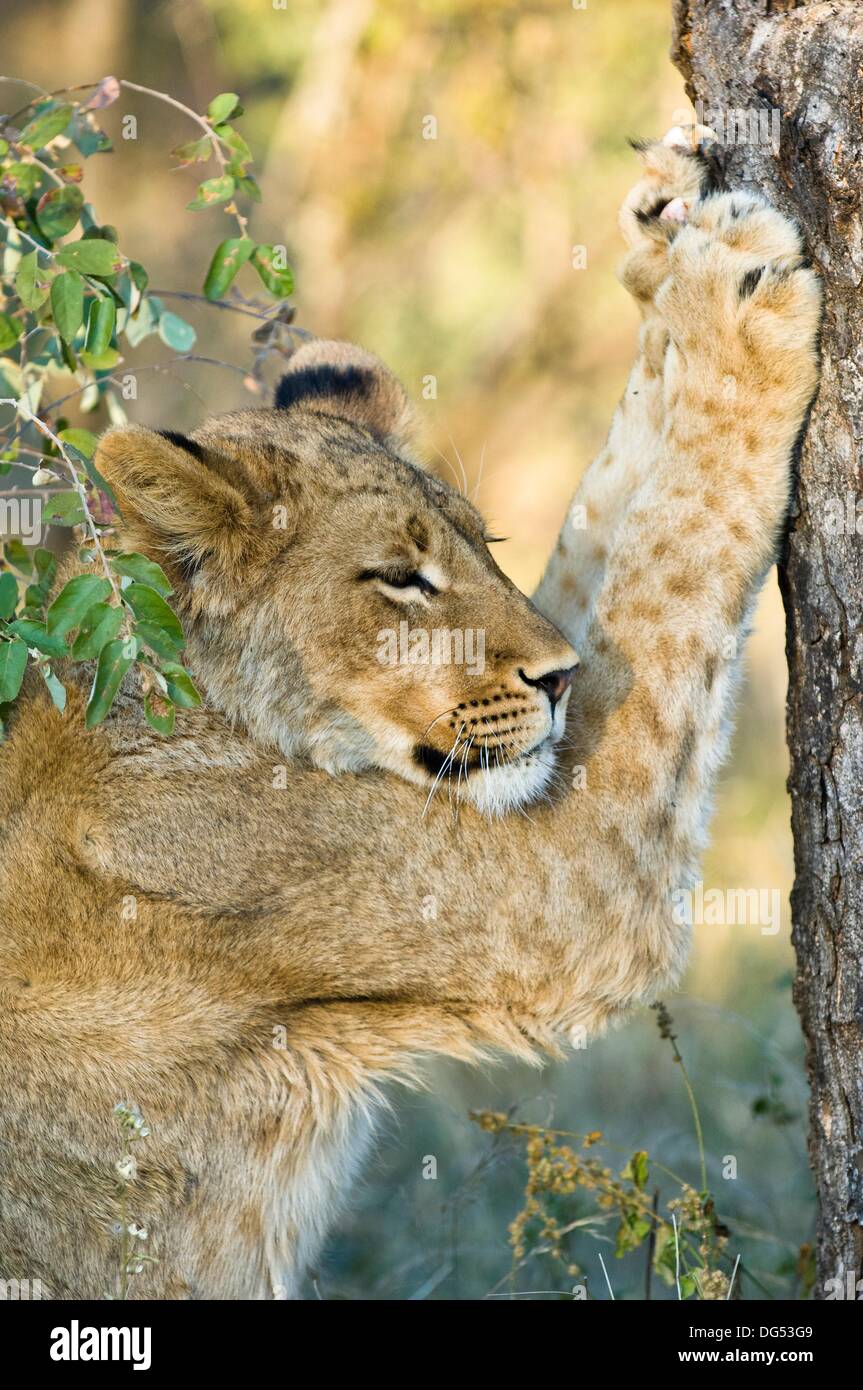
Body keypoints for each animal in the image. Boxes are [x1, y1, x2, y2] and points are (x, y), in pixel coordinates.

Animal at [0, 132, 821, 1298]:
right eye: (398, 578)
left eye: (485, 543)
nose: (559, 679)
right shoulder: (560, 891)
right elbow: (673, 554)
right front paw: (732, 312)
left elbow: (617, 518)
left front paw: (666, 235)